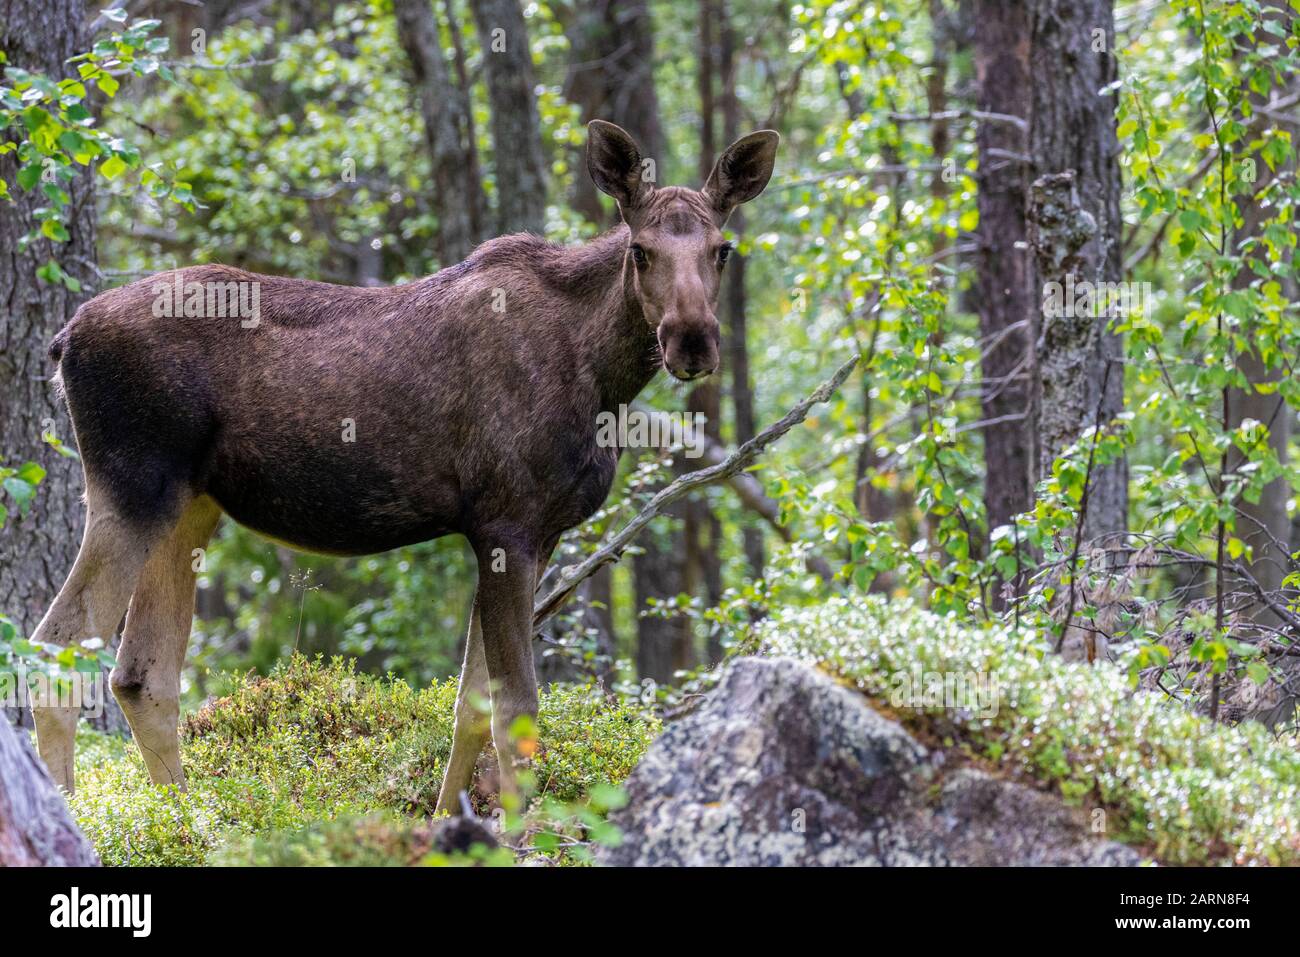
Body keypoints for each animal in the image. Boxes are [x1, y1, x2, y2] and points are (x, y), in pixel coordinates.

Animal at [28, 119, 779, 812]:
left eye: (722, 248)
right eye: (640, 250)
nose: (692, 340)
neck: (603, 379)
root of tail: (64, 341)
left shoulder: (533, 533)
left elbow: (471, 706)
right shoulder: (506, 522)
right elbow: (516, 710)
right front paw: (519, 835)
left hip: (190, 505)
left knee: (141, 674)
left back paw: (191, 828)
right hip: (132, 486)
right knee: (54, 651)